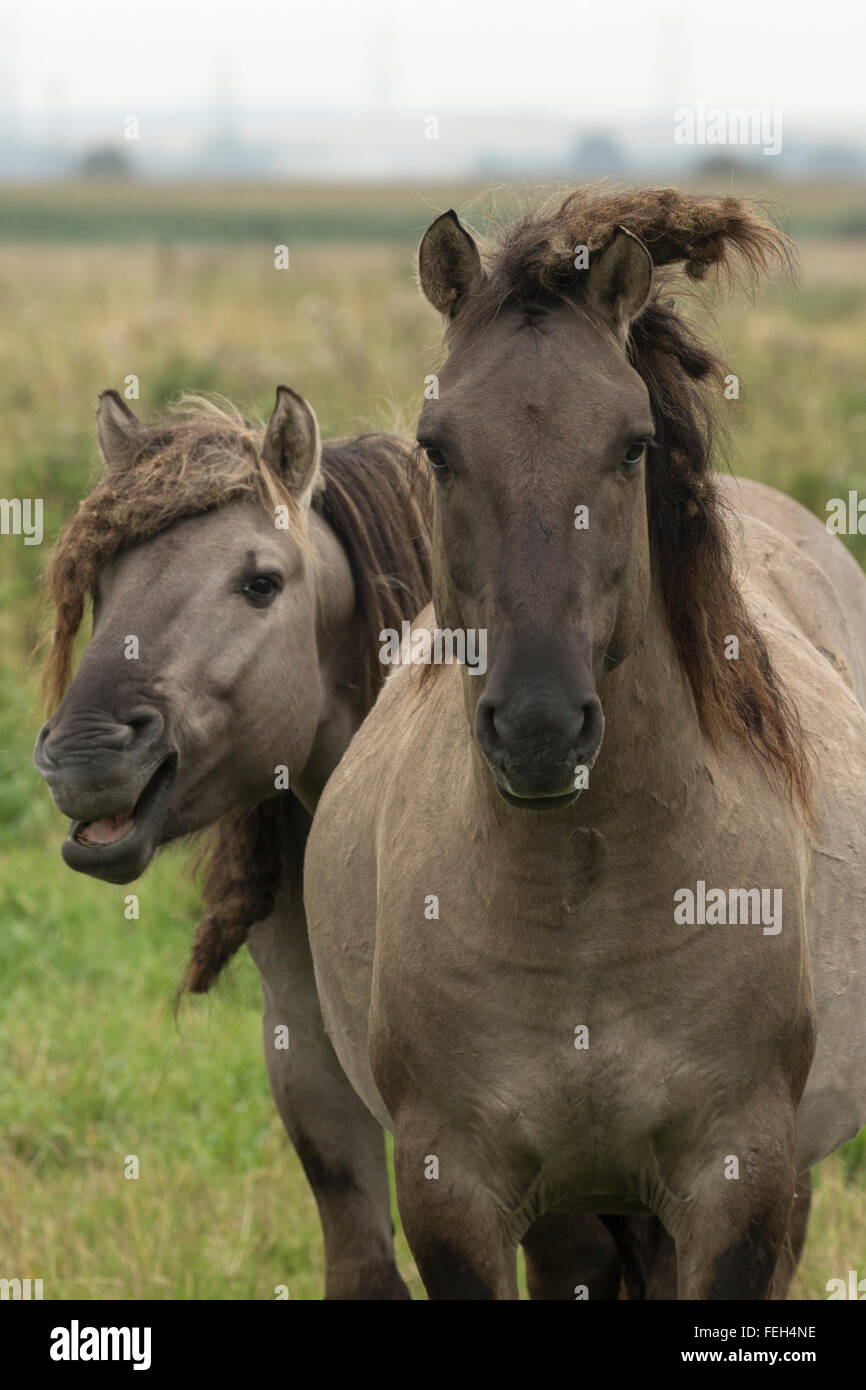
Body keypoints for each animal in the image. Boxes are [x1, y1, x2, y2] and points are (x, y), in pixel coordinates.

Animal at [304, 189, 866, 1299]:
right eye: (437, 445)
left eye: (632, 444)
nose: (537, 727)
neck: (583, 903)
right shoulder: (453, 1190)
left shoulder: (741, 1176)